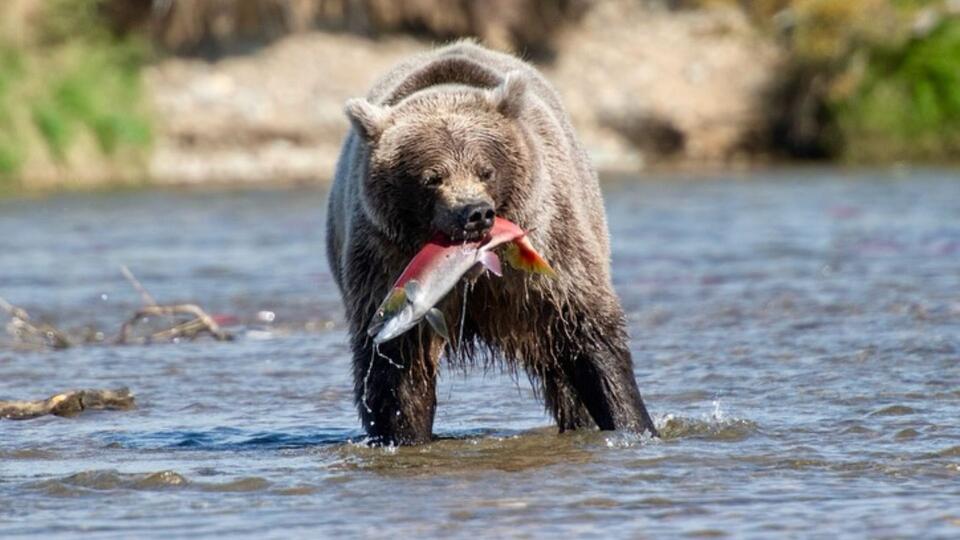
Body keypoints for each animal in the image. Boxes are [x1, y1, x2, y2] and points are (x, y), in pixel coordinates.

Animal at [326, 41, 657, 445]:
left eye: (486, 170)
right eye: (432, 177)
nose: (476, 213)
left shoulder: (552, 244)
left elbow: (588, 334)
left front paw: (632, 422)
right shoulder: (383, 260)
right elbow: (398, 370)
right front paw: (403, 433)